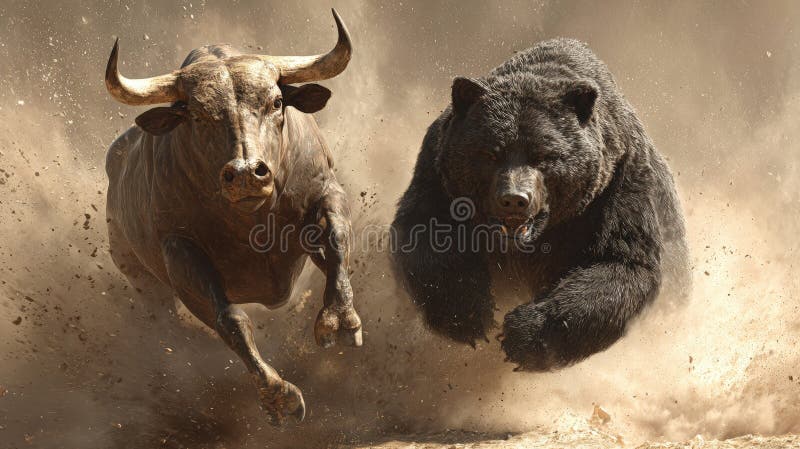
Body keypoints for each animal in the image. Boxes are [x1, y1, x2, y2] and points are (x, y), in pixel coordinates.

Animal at [103, 9, 362, 425]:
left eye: (276, 102)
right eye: (196, 115)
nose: (245, 173)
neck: (249, 217)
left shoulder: (325, 191)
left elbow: (336, 242)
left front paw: (338, 320)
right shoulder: (179, 251)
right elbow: (232, 322)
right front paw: (278, 396)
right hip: (141, 279)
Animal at [391, 38, 689, 371]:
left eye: (543, 155)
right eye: (491, 153)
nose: (514, 200)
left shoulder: (618, 186)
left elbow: (622, 263)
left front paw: (522, 335)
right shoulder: (438, 174)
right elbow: (425, 234)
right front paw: (469, 313)